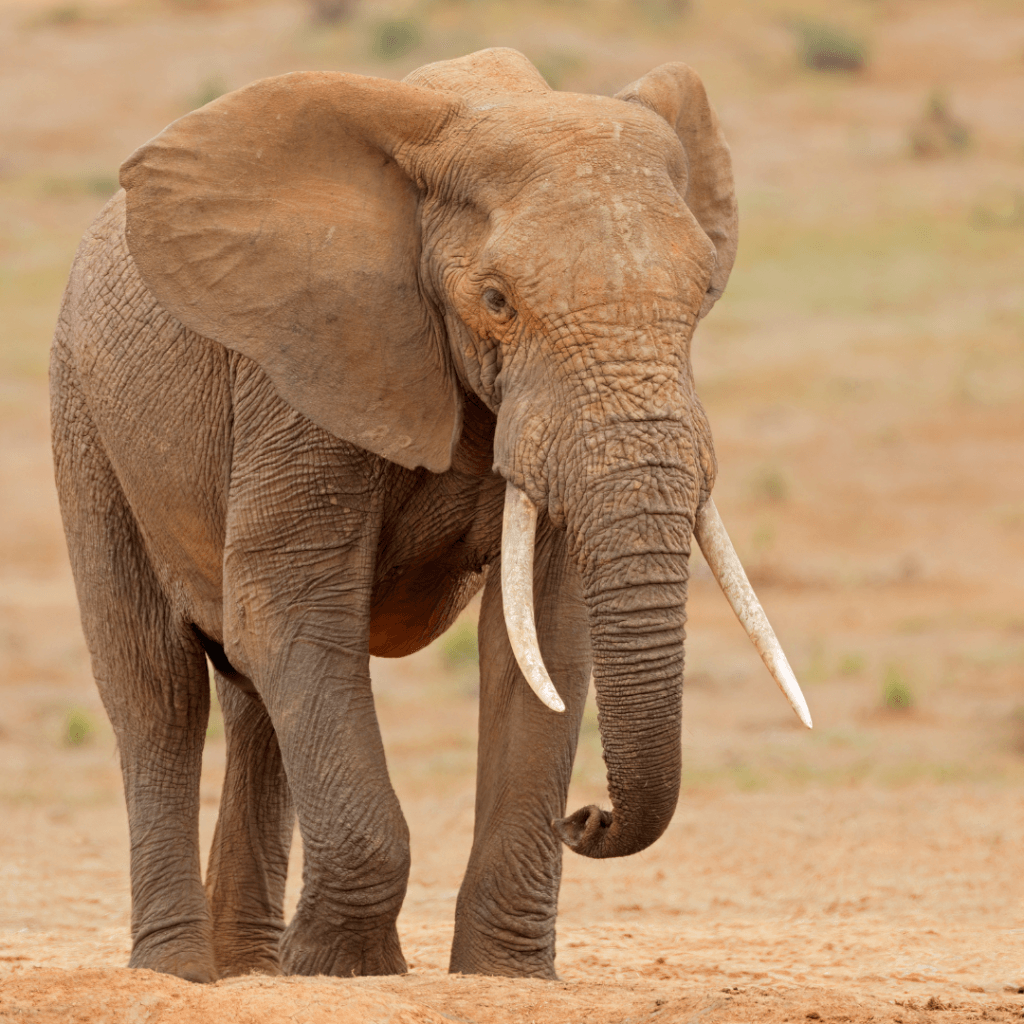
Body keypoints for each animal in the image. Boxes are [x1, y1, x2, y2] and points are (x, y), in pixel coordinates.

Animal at [50, 47, 810, 984]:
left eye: (703, 294)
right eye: (496, 300)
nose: (589, 818)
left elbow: (542, 643)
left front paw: (503, 976)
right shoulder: (301, 366)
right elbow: (292, 612)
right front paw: (341, 971)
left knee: (251, 698)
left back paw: (249, 966)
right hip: (84, 413)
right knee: (156, 687)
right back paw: (180, 971)